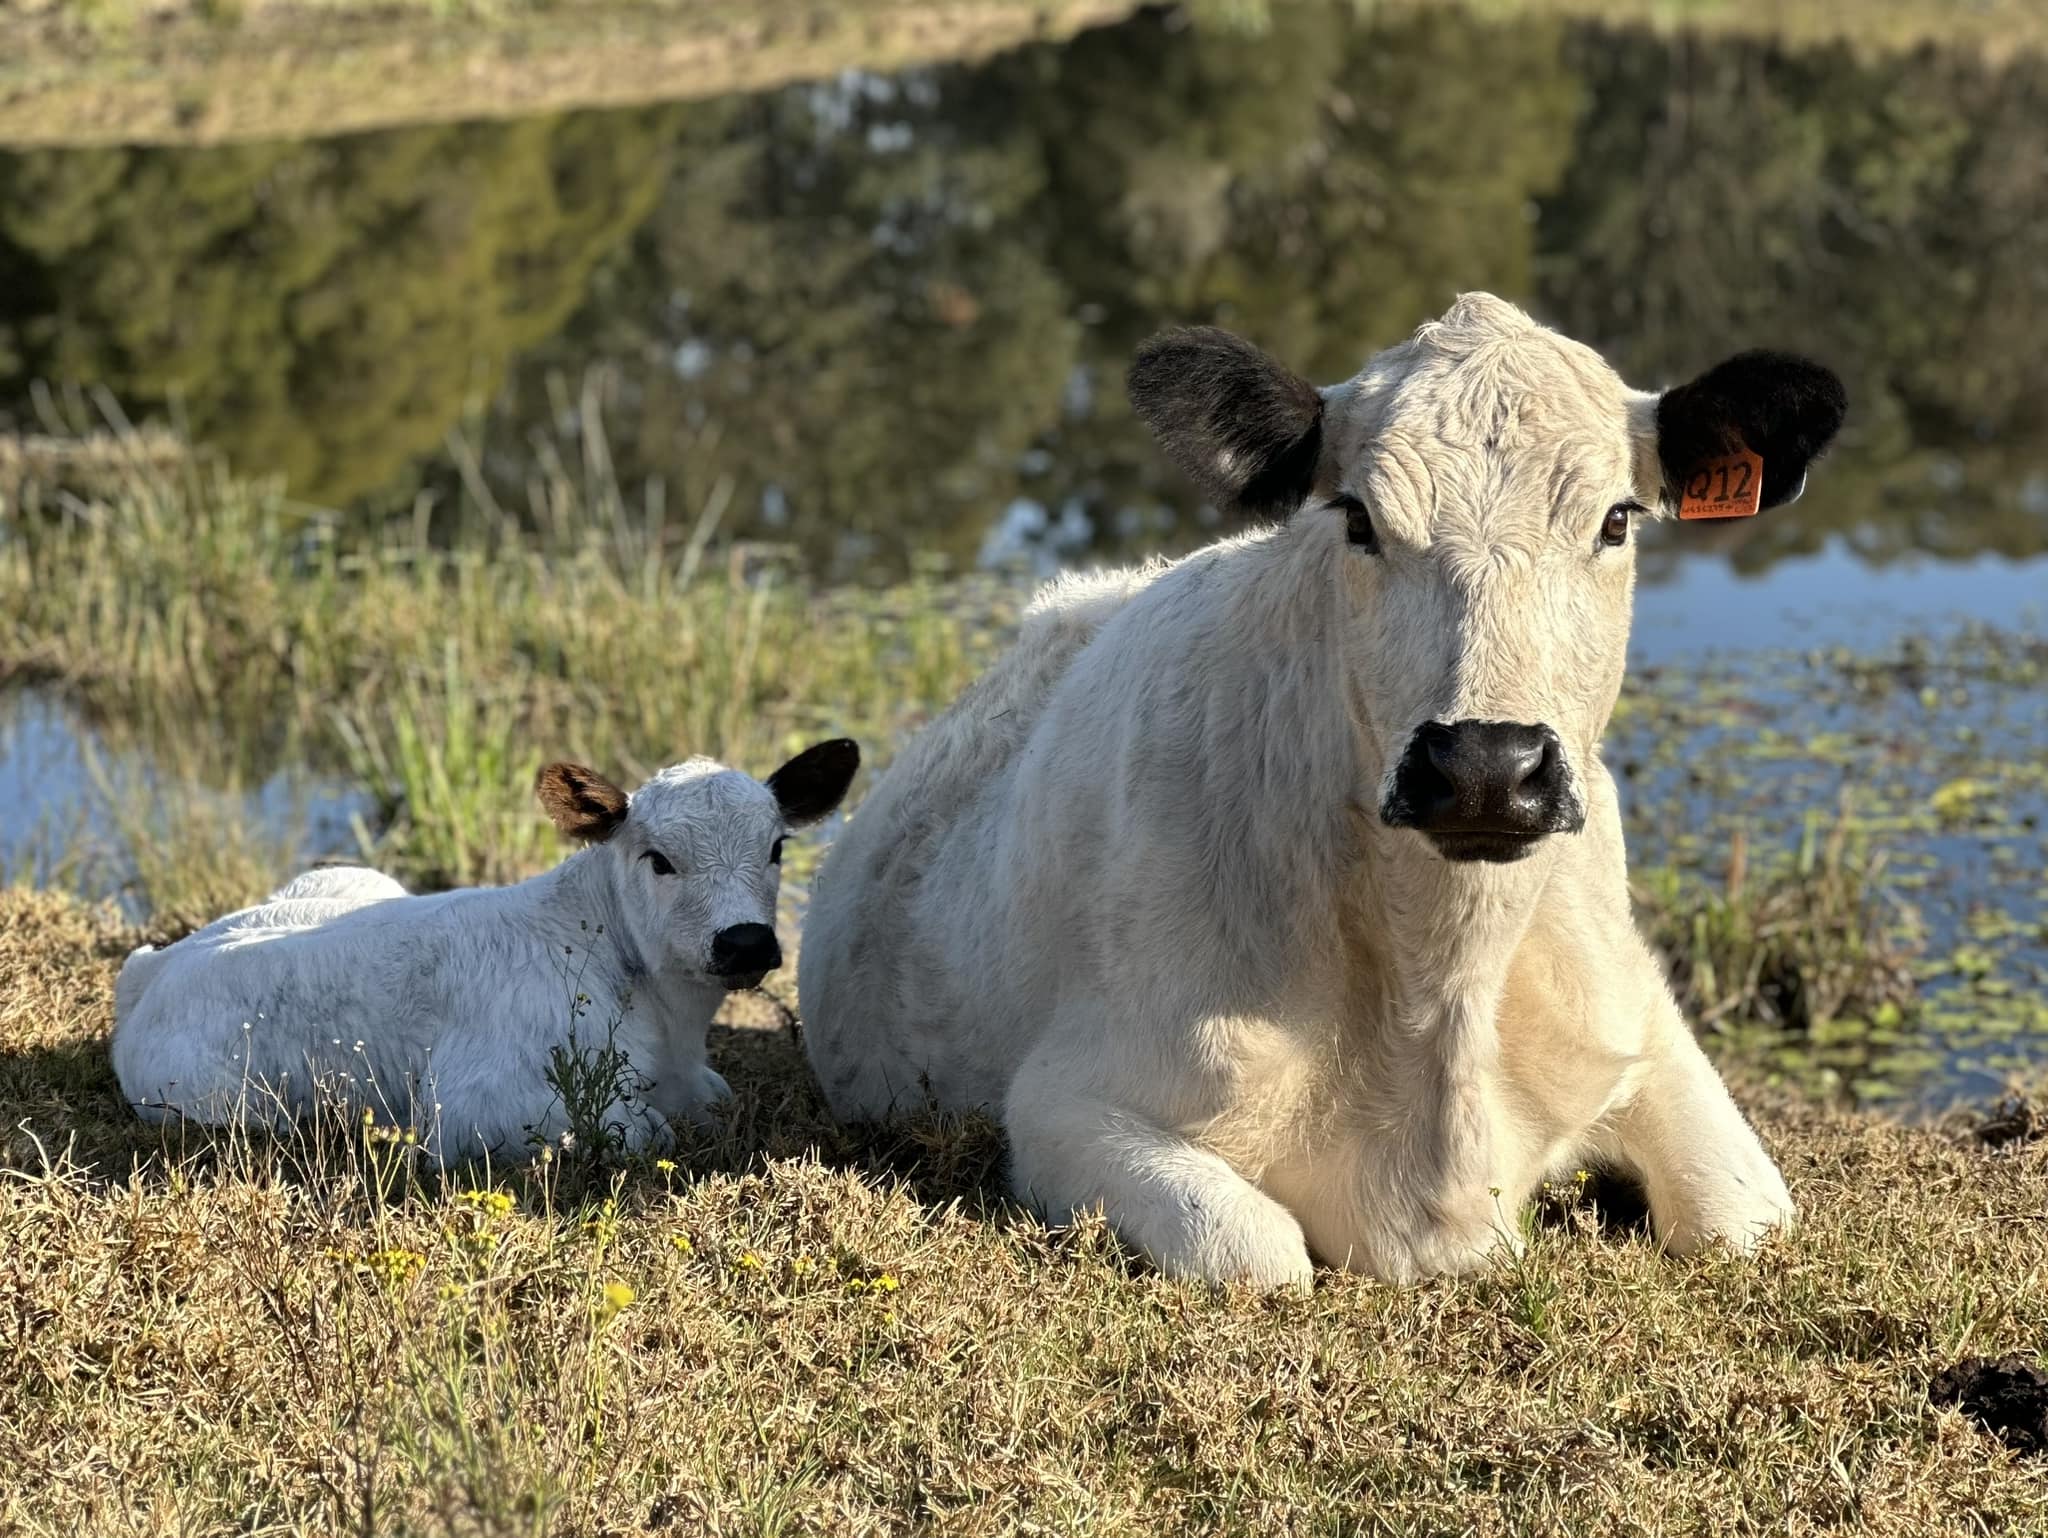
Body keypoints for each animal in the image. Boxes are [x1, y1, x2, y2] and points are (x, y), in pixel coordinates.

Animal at [797, 292, 1843, 1286]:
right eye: (1357, 518)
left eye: (1617, 520)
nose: (1485, 768)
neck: (1442, 992)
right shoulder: (1062, 1102)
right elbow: (1261, 1254)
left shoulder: (1649, 1034)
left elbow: (1740, 1213)